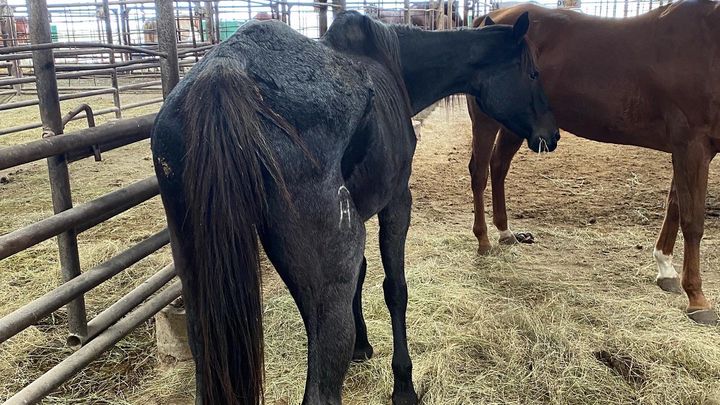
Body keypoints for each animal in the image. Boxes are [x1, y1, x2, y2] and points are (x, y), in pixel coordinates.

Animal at [152, 10, 558, 405]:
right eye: (533, 73)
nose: (551, 135)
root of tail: (225, 75)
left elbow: (361, 276)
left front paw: (362, 346)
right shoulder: (397, 203)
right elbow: (395, 289)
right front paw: (404, 386)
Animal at [466, 1, 720, 324]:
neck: (709, 38)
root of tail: (487, 19)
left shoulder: (689, 148)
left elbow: (674, 206)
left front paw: (666, 271)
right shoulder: (692, 145)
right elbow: (693, 220)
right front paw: (698, 300)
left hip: (515, 123)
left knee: (498, 167)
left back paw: (505, 233)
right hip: (486, 120)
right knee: (479, 173)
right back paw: (484, 241)